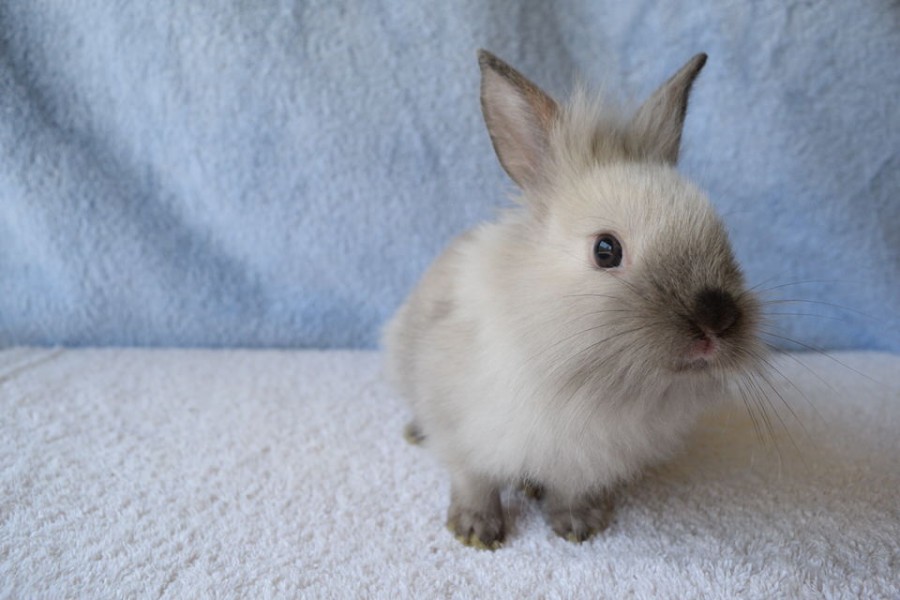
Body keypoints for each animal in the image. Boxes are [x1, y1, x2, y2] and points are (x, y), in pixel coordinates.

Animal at [383, 50, 765, 549]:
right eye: (606, 250)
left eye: (724, 237)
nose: (716, 321)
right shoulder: (460, 425)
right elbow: (473, 480)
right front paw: (475, 530)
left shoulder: (582, 462)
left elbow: (569, 490)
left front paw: (579, 526)